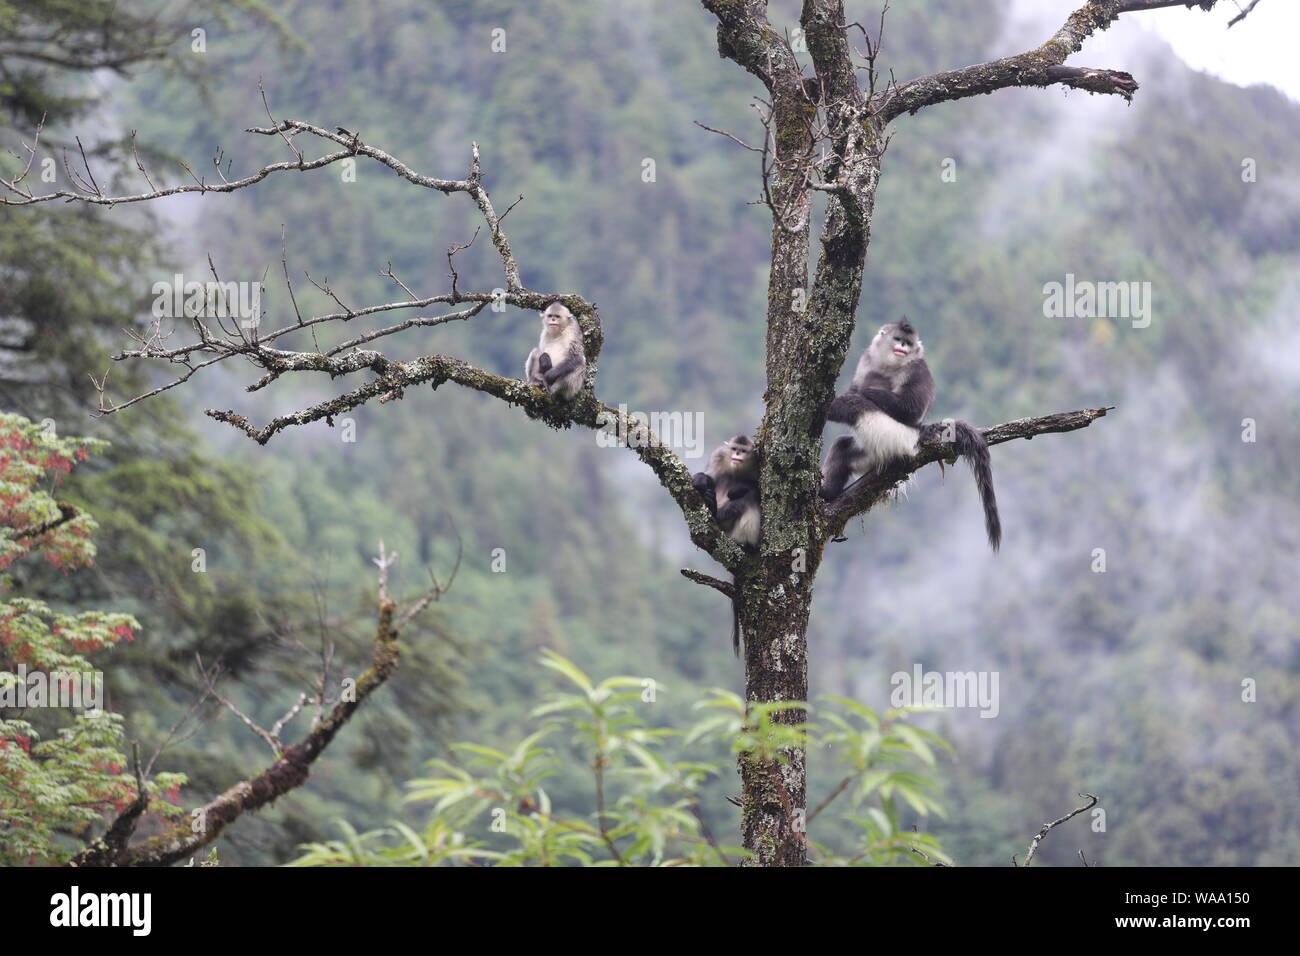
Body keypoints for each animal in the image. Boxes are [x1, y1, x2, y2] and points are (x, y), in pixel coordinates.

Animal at [692, 435, 760, 655]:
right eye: (734, 449)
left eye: (743, 451)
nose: (737, 455)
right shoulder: (718, 456)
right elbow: (710, 477)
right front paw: (700, 479)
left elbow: (755, 488)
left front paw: (741, 488)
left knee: (748, 499)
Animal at [820, 318, 1001, 552]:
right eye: (898, 339)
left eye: (908, 342)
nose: (902, 348)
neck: (889, 365)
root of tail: (921, 432)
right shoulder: (867, 360)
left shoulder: (917, 368)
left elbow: (910, 407)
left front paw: (862, 393)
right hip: (868, 454)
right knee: (842, 446)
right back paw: (827, 493)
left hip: (897, 438)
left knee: (855, 406)